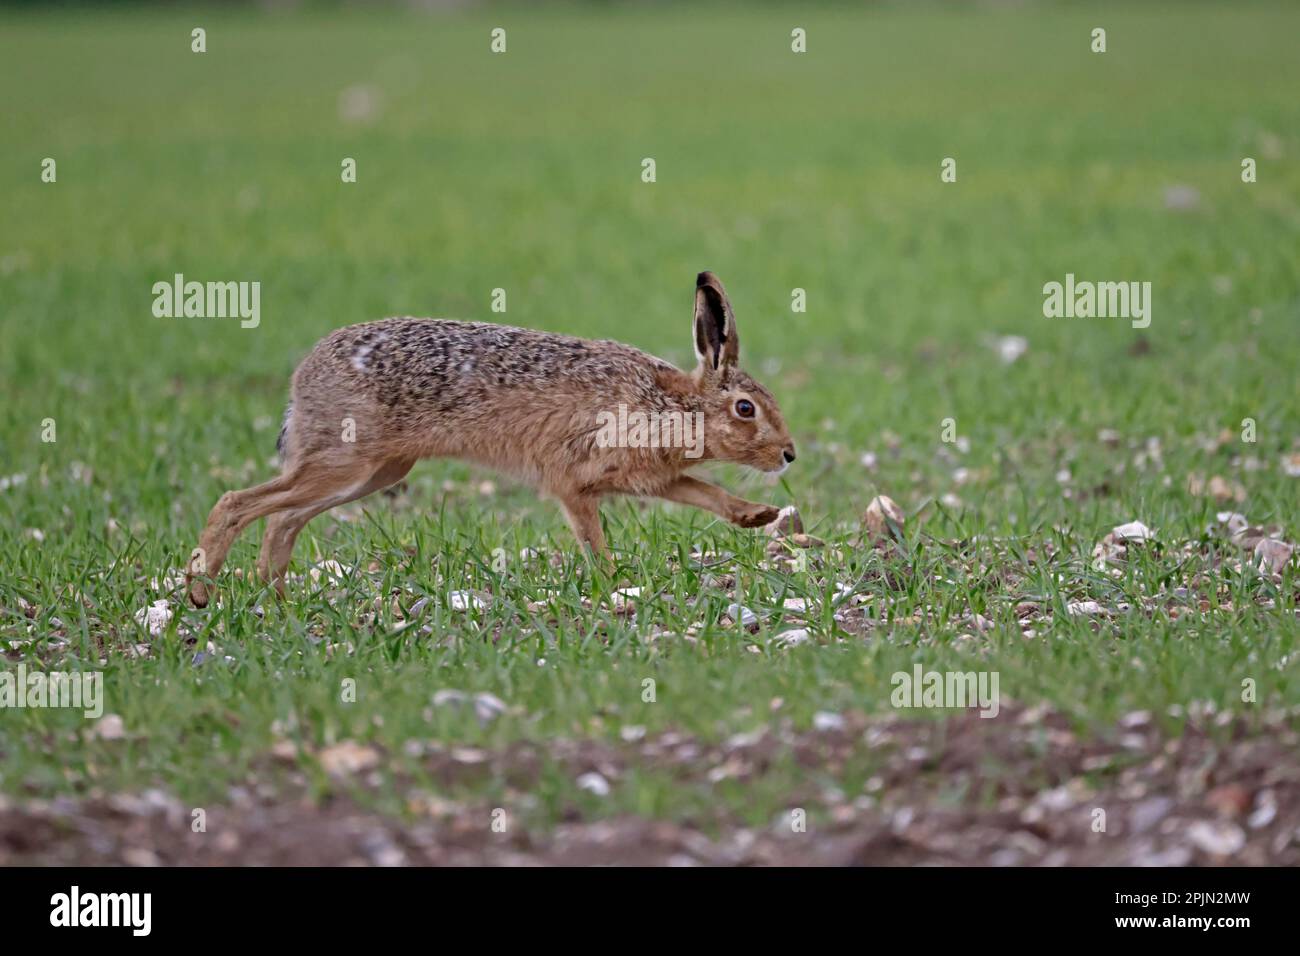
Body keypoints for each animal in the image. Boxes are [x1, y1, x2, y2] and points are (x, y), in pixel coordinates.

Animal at [186, 271, 796, 606]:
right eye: (746, 409)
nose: (788, 454)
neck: (674, 406)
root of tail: (304, 375)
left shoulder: (650, 476)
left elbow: (703, 493)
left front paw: (758, 516)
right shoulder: (575, 481)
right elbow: (593, 537)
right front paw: (609, 582)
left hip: (377, 472)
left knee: (284, 519)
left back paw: (275, 596)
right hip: (346, 461)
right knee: (237, 502)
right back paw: (200, 590)